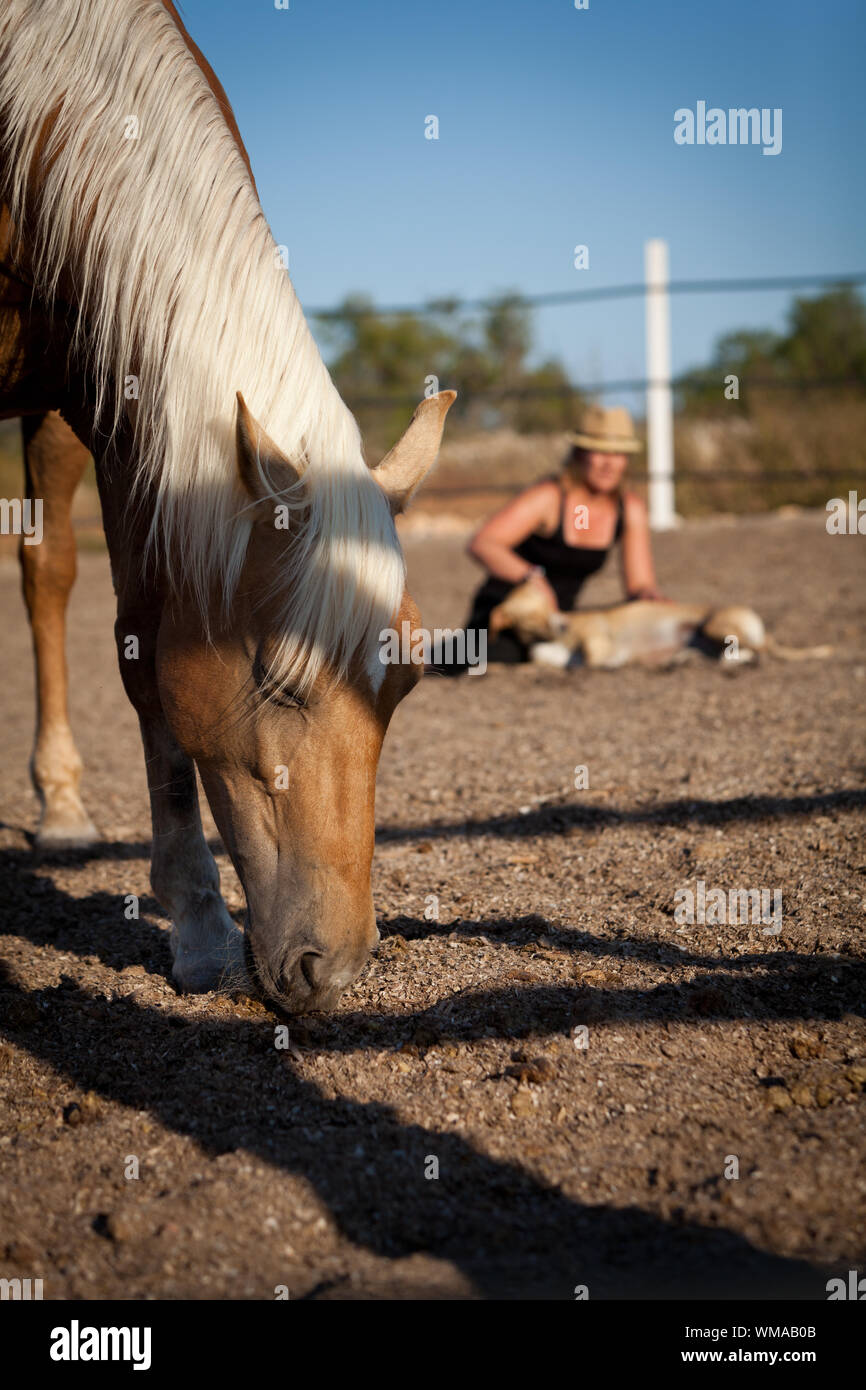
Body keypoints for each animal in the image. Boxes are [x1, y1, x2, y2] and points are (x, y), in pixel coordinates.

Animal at [0, 0, 455, 1012]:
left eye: (408, 680)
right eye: (280, 683)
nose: (335, 969)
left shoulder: (126, 417)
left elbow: (145, 657)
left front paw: (198, 929)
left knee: (47, 574)